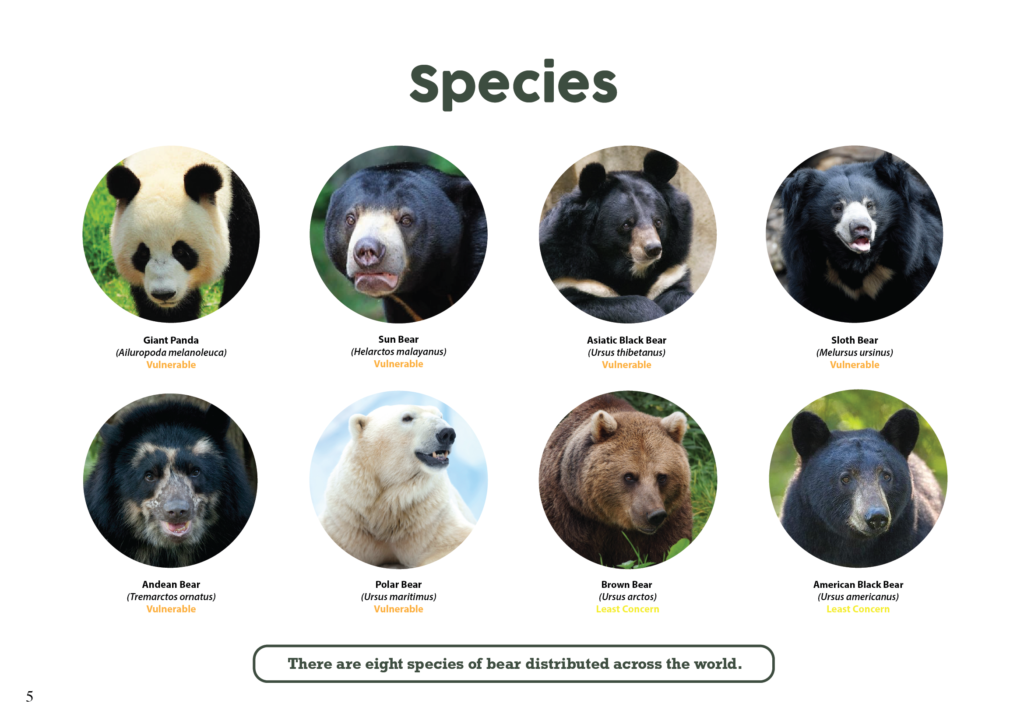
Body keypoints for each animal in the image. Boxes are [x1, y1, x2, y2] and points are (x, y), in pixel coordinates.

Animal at [318, 405, 476, 568]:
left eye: (440, 416)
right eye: (407, 418)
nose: (447, 433)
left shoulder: (429, 517)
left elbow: (450, 542)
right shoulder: (347, 518)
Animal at [539, 150, 694, 323]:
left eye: (658, 222)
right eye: (626, 224)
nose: (653, 249)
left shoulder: (668, 276)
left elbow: (679, 294)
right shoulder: (572, 279)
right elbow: (631, 306)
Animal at [539, 394, 692, 566]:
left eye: (662, 476)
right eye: (629, 476)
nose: (655, 515)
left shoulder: (671, 519)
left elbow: (670, 546)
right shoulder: (568, 515)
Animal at [780, 152, 942, 322]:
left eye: (870, 205)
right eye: (838, 207)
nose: (861, 228)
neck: (857, 263)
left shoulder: (912, 264)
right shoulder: (809, 272)